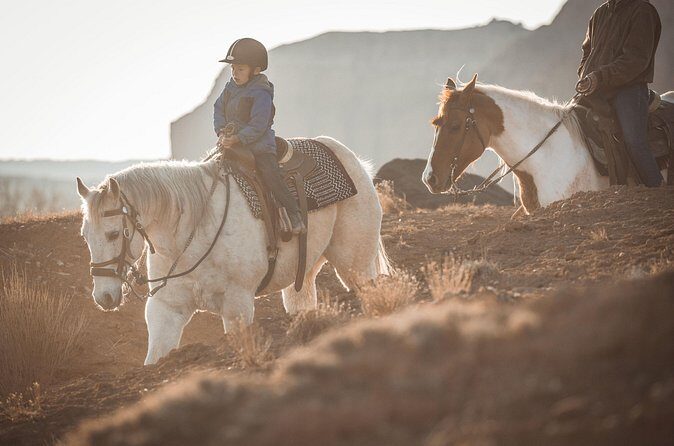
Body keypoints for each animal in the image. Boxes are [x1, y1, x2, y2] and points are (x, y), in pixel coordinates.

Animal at [76, 136, 389, 365]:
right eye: (85, 236)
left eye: (113, 233)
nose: (104, 297)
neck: (192, 234)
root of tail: (355, 162)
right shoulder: (166, 309)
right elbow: (154, 358)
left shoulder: (237, 305)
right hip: (304, 277)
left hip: (355, 267)